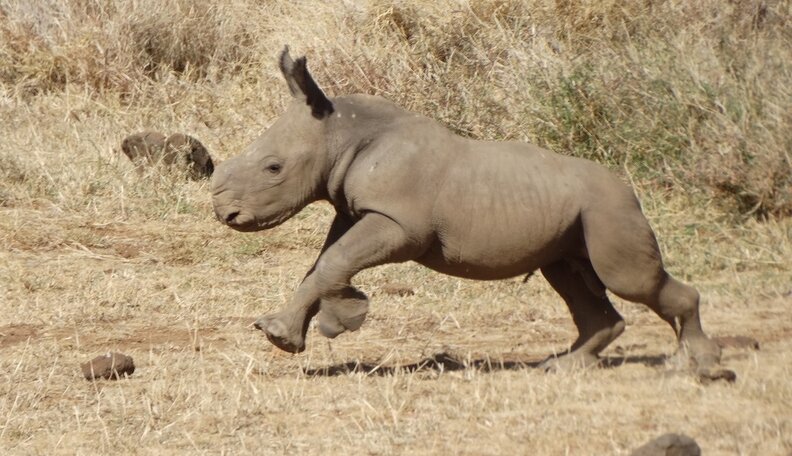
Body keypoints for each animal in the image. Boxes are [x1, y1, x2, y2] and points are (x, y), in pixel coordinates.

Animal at [211, 47, 734, 380]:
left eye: (273, 168)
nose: (224, 213)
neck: (342, 131)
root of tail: (631, 190)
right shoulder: (355, 210)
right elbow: (322, 264)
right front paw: (296, 331)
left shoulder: (401, 224)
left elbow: (336, 261)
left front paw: (321, 327)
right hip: (579, 216)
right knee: (571, 278)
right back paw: (559, 368)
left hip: (609, 208)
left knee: (629, 280)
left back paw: (702, 369)